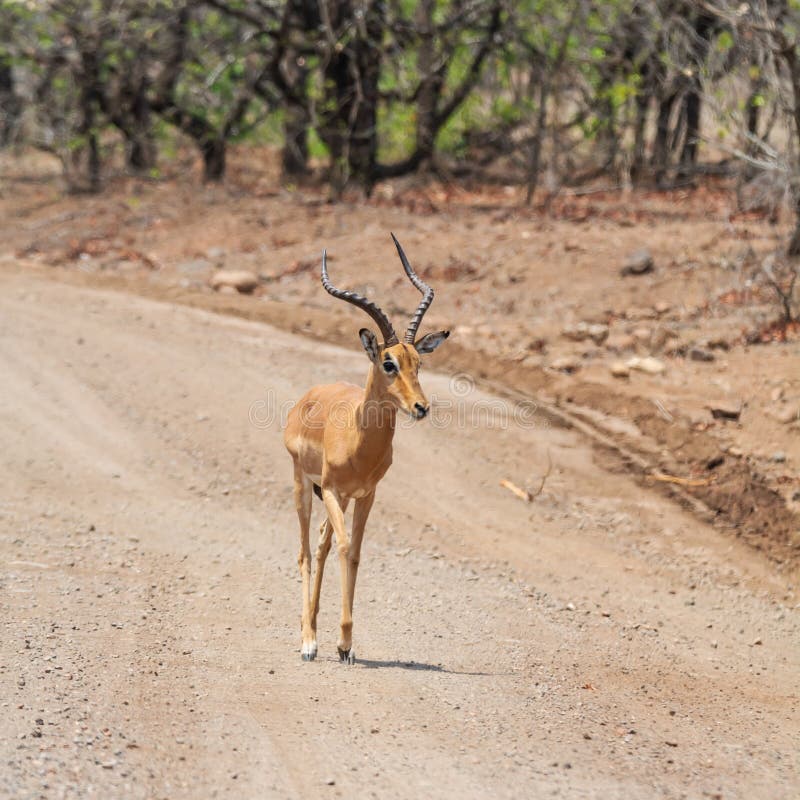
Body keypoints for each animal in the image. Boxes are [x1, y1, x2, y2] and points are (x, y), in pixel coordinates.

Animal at [283, 234, 449, 663]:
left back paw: (315, 629)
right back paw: (307, 641)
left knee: (321, 545)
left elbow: (354, 552)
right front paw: (337, 642)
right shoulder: (334, 490)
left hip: (333, 497)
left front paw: (345, 645)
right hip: (304, 485)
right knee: (306, 551)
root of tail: (307, 398)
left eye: (418, 362)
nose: (421, 407)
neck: (359, 441)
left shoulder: (366, 495)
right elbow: (343, 548)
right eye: (388, 362)